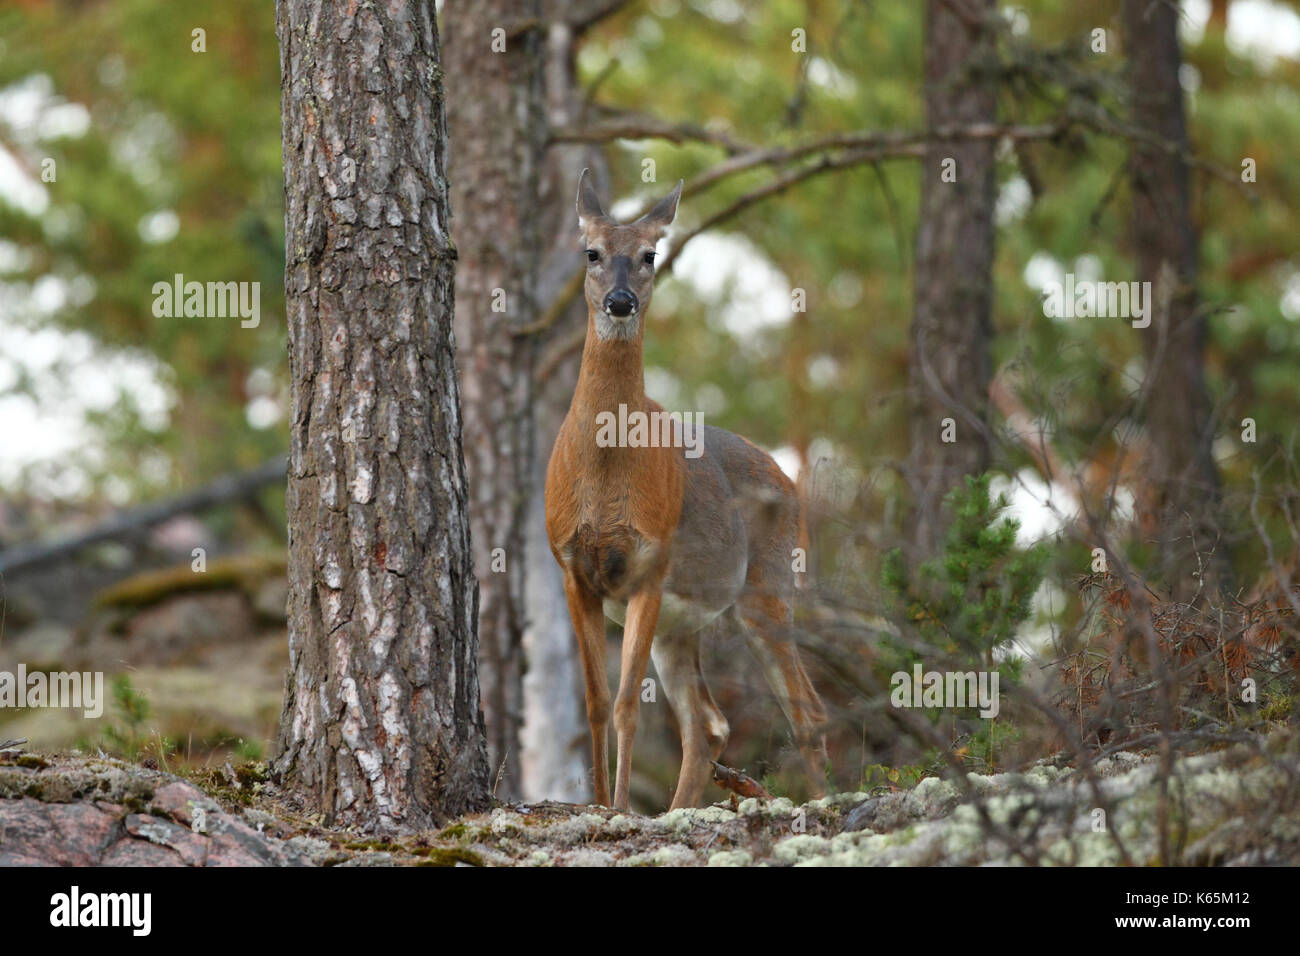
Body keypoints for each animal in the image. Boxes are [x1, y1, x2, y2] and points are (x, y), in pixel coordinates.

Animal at [544, 170, 829, 811]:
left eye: (651, 254)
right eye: (591, 252)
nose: (620, 301)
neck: (605, 473)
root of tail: (789, 481)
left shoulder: (649, 564)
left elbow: (626, 705)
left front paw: (620, 809)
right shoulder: (574, 567)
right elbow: (596, 703)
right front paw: (600, 803)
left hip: (768, 587)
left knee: (807, 711)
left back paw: (826, 802)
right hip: (682, 626)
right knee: (710, 724)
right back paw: (677, 811)